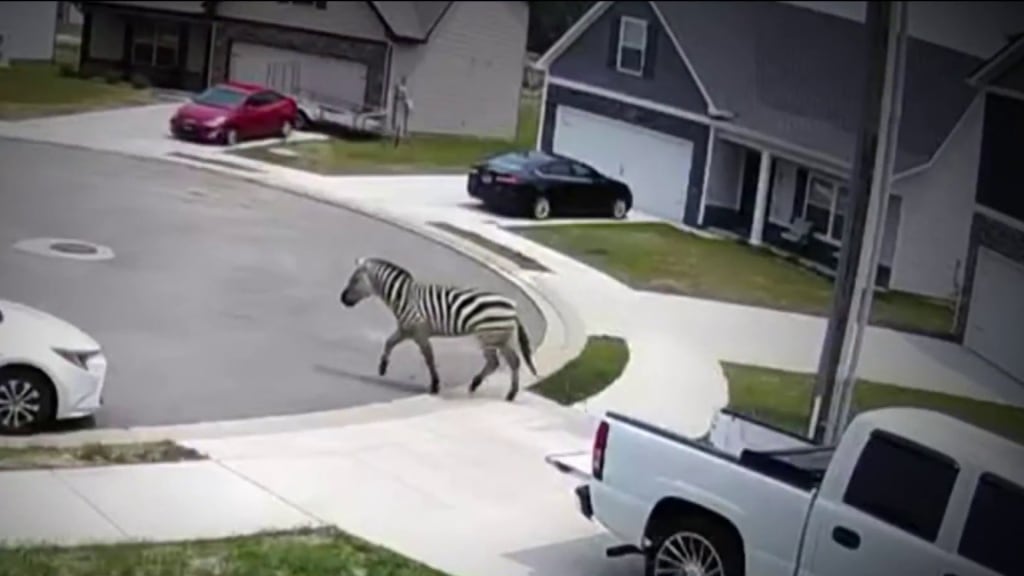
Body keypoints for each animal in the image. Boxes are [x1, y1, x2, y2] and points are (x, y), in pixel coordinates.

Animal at [339, 257, 538, 401]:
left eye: (354, 280)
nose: (342, 299)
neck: (404, 297)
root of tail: (512, 307)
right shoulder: (406, 329)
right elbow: (389, 342)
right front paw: (382, 367)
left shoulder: (417, 331)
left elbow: (428, 358)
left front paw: (435, 385)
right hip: (501, 337)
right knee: (512, 362)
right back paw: (506, 393)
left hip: (489, 336)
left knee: (495, 362)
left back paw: (487, 387)